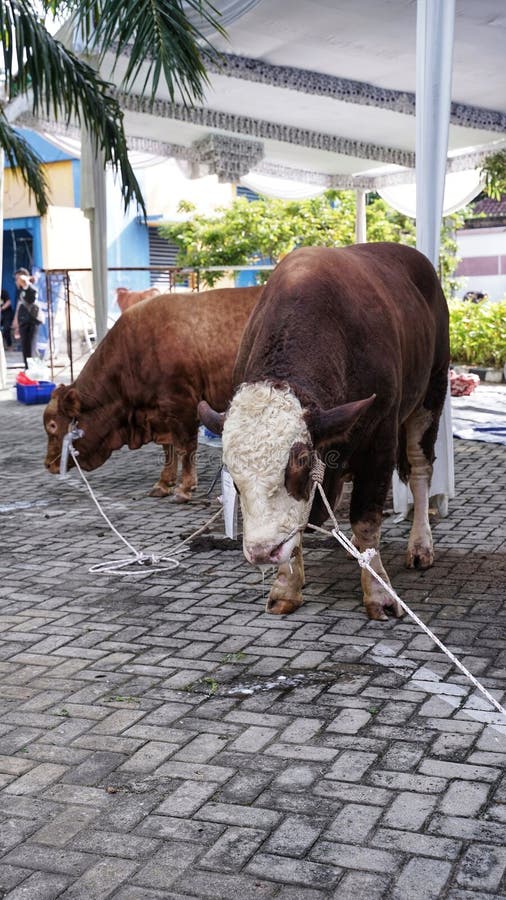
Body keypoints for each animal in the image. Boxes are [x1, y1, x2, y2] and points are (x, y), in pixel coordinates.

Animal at [44, 286, 262, 500]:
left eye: (53, 425)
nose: (48, 464)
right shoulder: (162, 414)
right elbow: (169, 449)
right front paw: (164, 483)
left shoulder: (182, 406)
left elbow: (186, 447)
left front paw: (185, 488)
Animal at [199, 243, 449, 621]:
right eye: (233, 476)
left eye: (300, 465)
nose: (262, 552)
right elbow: (296, 525)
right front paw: (286, 586)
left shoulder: (380, 441)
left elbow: (366, 518)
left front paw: (378, 592)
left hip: (430, 396)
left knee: (420, 470)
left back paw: (420, 545)